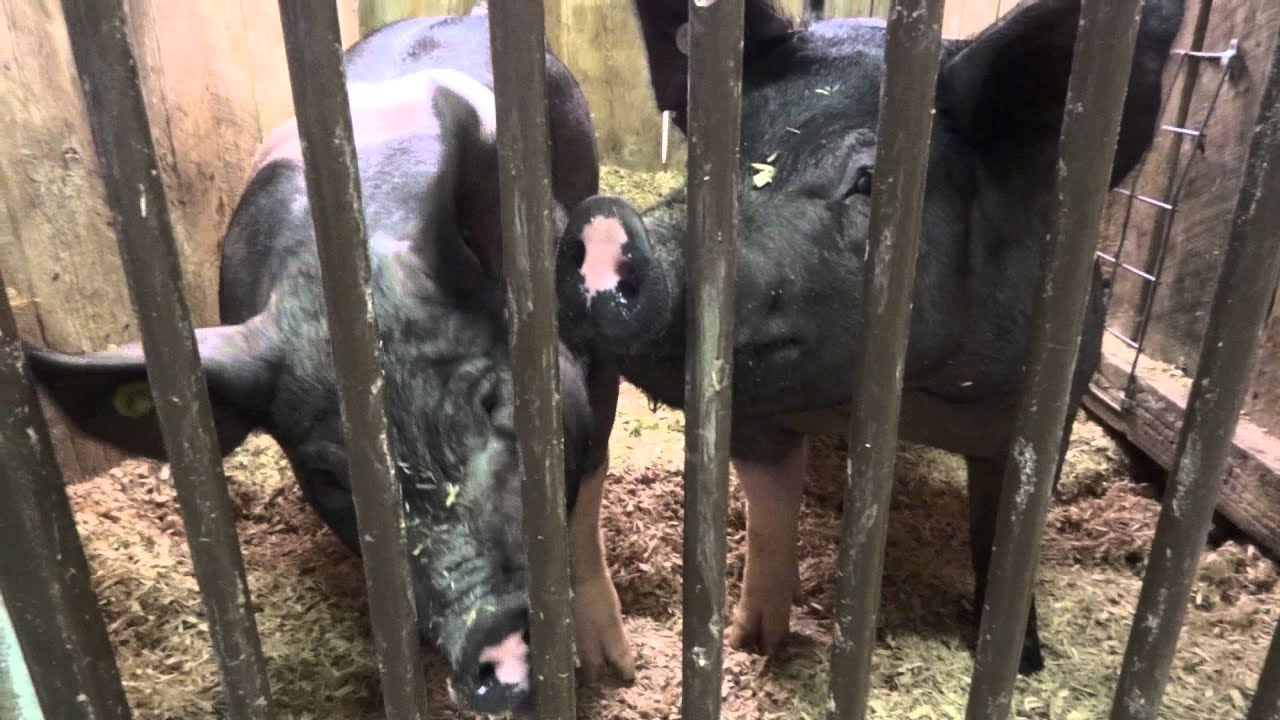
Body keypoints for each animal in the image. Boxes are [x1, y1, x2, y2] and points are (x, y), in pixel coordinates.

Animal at [555, 0, 1186, 675]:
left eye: (868, 181)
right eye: (708, 151)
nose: (608, 225)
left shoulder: (1048, 400)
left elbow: (1002, 536)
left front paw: (1025, 663)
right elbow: (772, 510)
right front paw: (756, 642)